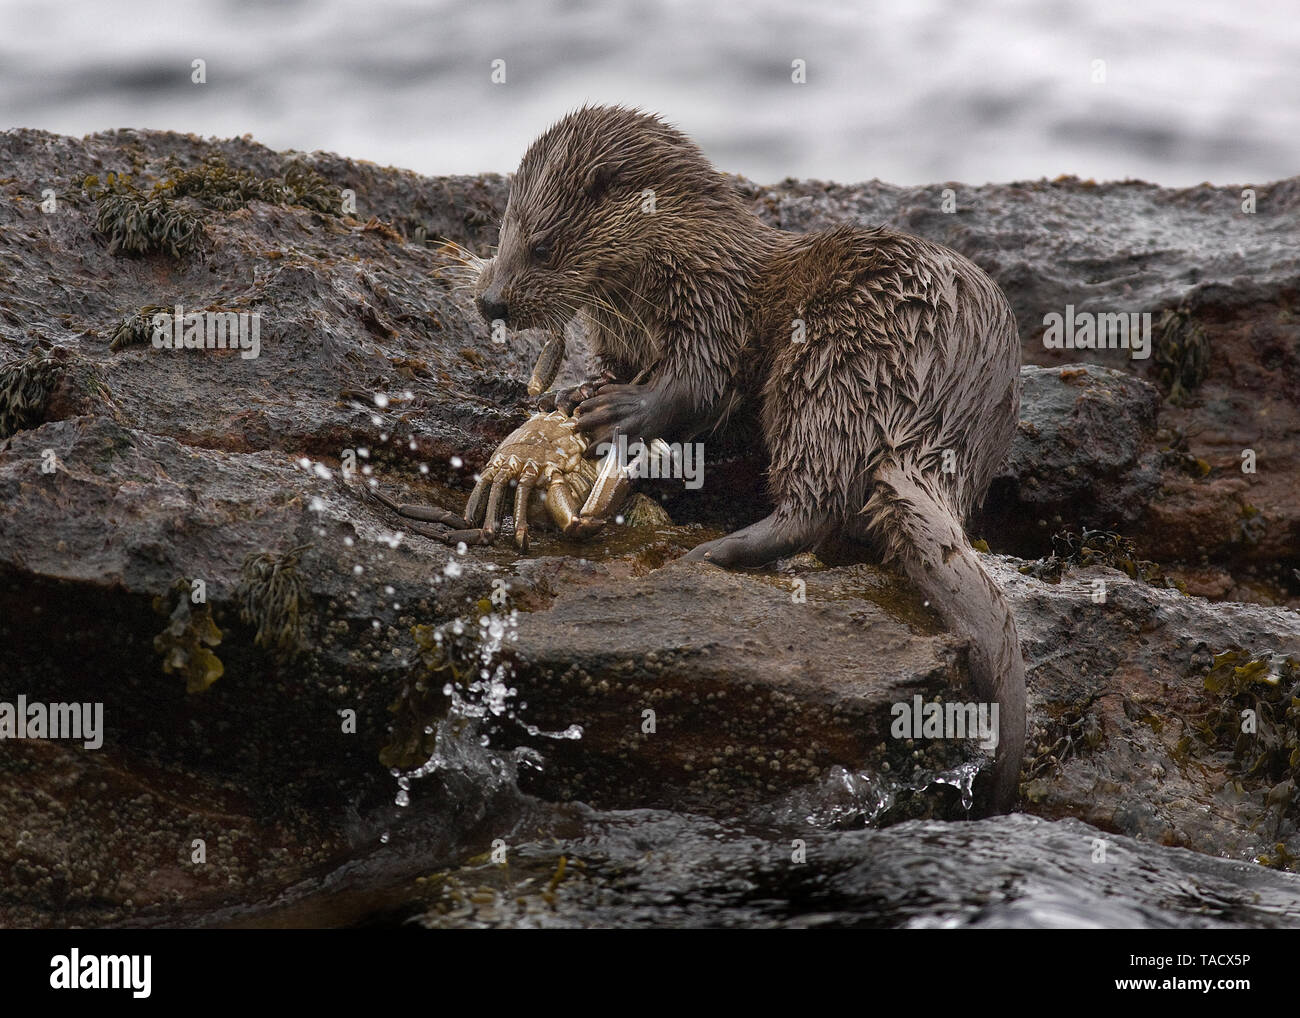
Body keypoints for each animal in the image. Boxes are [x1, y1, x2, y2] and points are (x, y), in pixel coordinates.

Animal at [473, 105, 1024, 813]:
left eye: (542, 247)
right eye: (503, 234)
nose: (491, 301)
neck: (677, 255)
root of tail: (943, 416)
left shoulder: (710, 303)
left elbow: (700, 381)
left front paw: (620, 410)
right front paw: (574, 393)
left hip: (832, 361)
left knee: (815, 501)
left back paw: (709, 555)